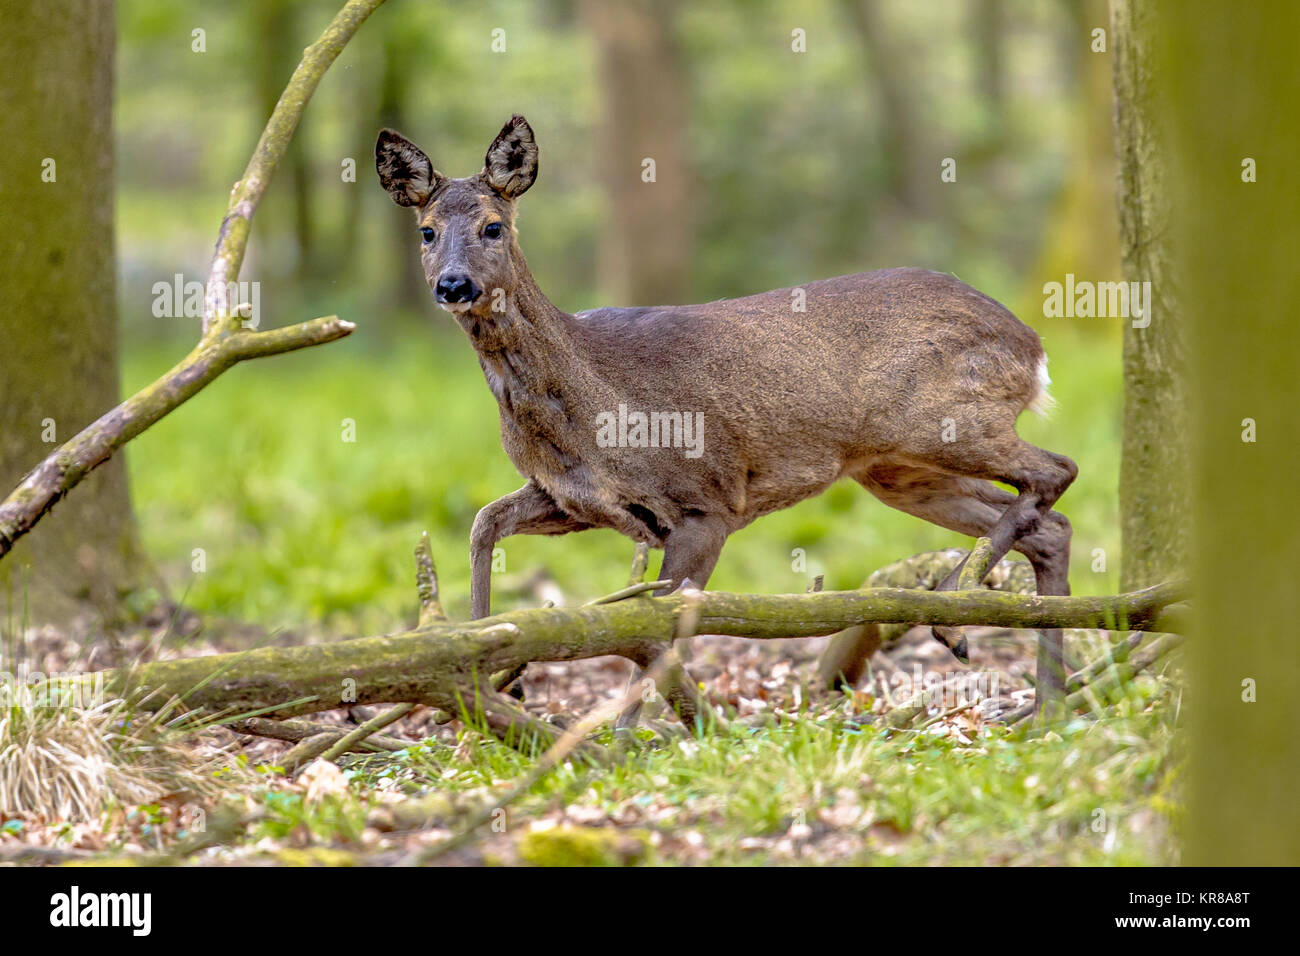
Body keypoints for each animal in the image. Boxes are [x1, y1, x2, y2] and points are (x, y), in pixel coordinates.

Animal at [375, 115, 1077, 722]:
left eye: (494, 226)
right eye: (426, 231)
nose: (454, 285)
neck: (583, 405)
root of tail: (1033, 346)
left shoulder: (705, 501)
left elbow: (653, 632)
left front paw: (642, 737)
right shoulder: (573, 498)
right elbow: (484, 522)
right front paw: (490, 669)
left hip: (947, 419)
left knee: (1057, 469)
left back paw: (954, 621)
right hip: (897, 470)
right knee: (1051, 525)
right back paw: (1045, 704)